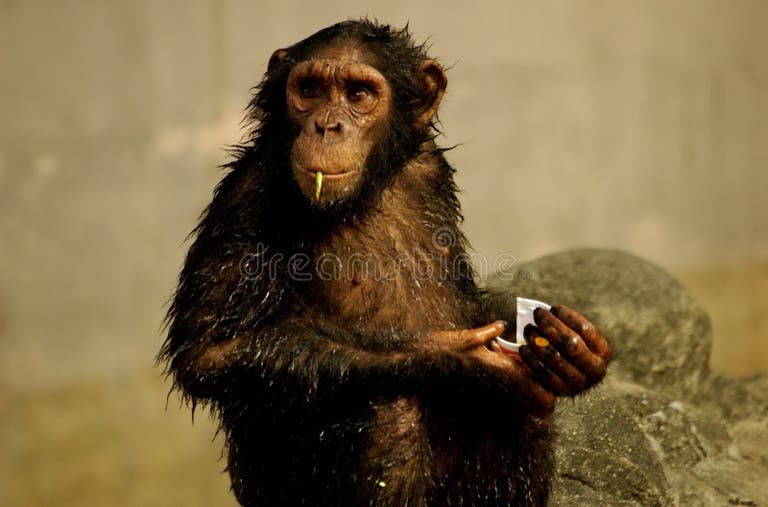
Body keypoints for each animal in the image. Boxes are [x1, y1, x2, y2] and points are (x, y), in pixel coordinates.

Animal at [159, 19, 611, 507]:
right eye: (310, 90)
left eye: (358, 94)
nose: (327, 126)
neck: (368, 189)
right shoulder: (246, 197)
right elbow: (212, 351)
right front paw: (452, 357)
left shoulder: (431, 168)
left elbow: (466, 298)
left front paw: (574, 347)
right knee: (389, 414)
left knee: (523, 405)